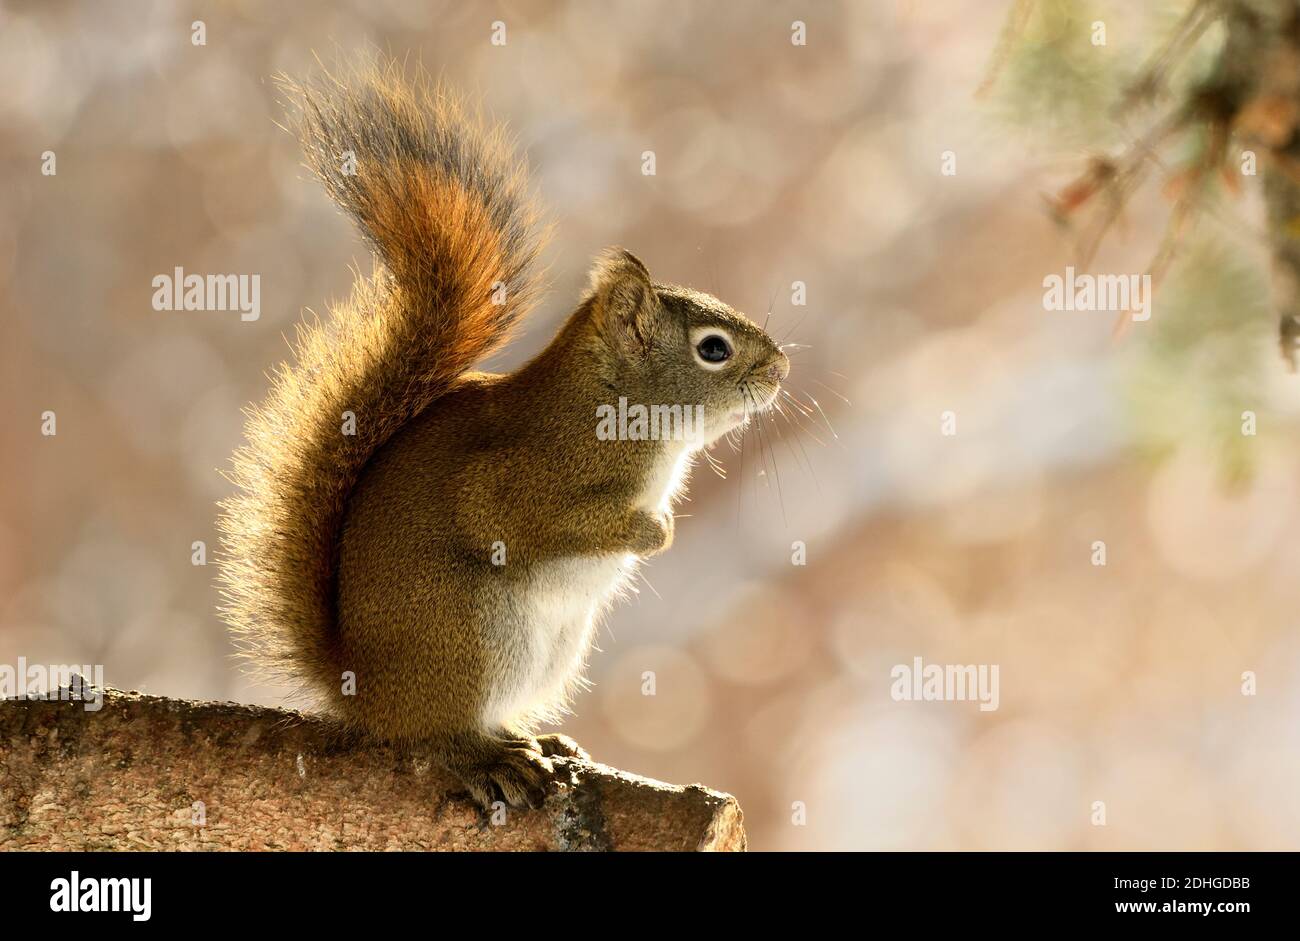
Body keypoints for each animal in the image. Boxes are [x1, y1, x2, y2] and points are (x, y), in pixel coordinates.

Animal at [216, 58, 790, 810]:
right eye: (713, 349)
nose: (782, 369)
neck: (614, 407)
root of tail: (363, 691)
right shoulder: (522, 479)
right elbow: (527, 519)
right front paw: (650, 531)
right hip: (470, 634)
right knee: (434, 735)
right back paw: (486, 756)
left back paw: (534, 738)